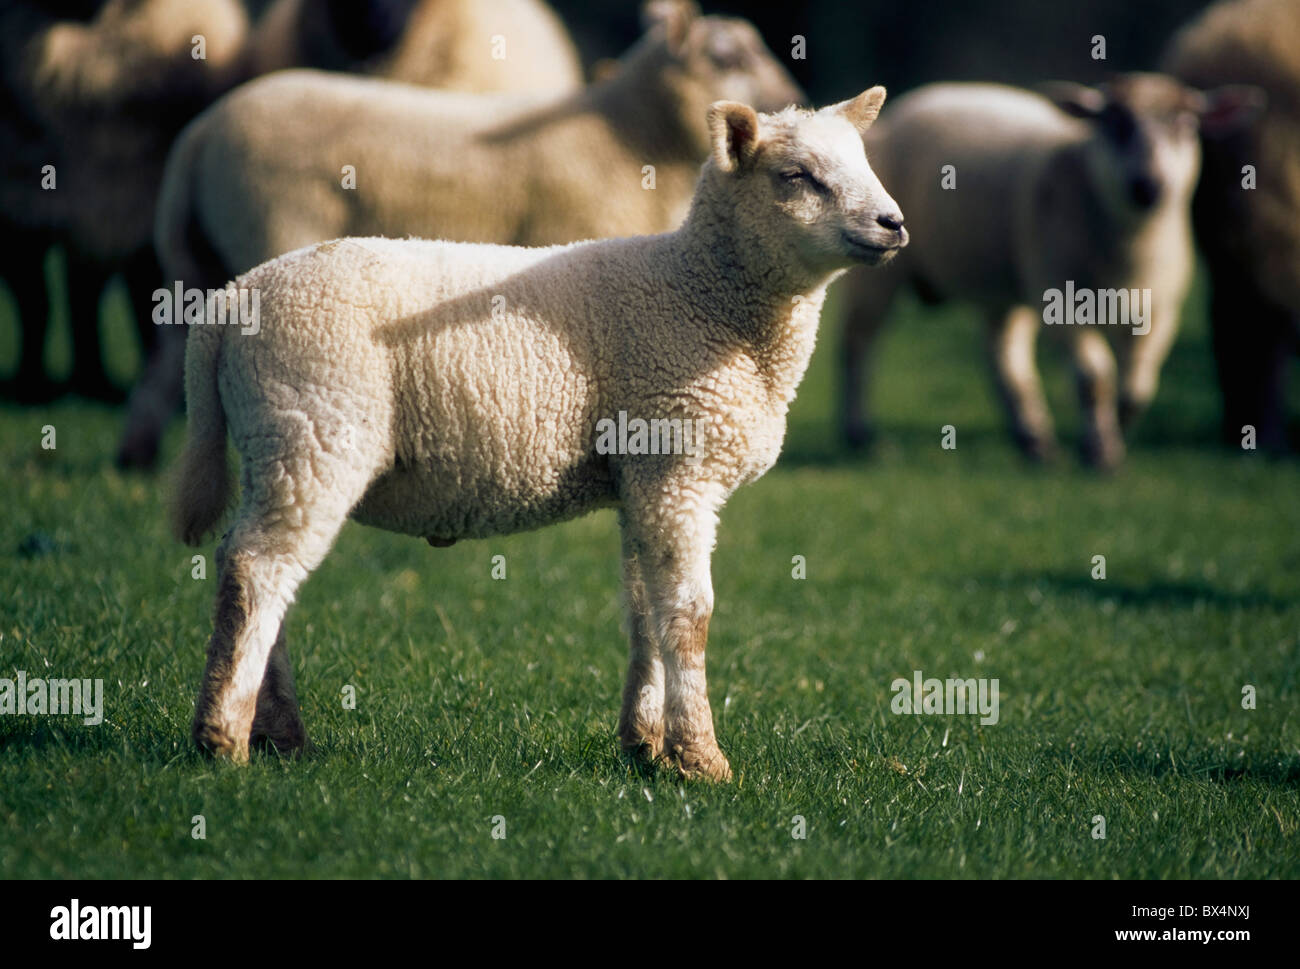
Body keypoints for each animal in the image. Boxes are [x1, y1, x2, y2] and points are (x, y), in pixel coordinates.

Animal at [168, 87, 907, 780]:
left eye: (866, 162)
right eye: (796, 176)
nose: (894, 223)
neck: (703, 293)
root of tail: (230, 300)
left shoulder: (642, 476)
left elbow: (645, 609)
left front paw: (645, 745)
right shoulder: (678, 467)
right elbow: (689, 614)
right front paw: (701, 759)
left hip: (282, 442)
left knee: (257, 569)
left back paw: (279, 734)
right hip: (315, 427)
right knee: (258, 569)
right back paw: (222, 736)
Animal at [838, 74, 1242, 468]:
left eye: (1186, 125)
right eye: (1115, 123)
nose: (1149, 186)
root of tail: (908, 104)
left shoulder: (1159, 310)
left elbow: (1137, 388)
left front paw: (1116, 431)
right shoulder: (1059, 299)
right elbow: (1094, 377)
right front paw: (1099, 453)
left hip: (1000, 282)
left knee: (1002, 353)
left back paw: (1033, 440)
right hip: (877, 273)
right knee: (857, 344)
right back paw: (861, 436)